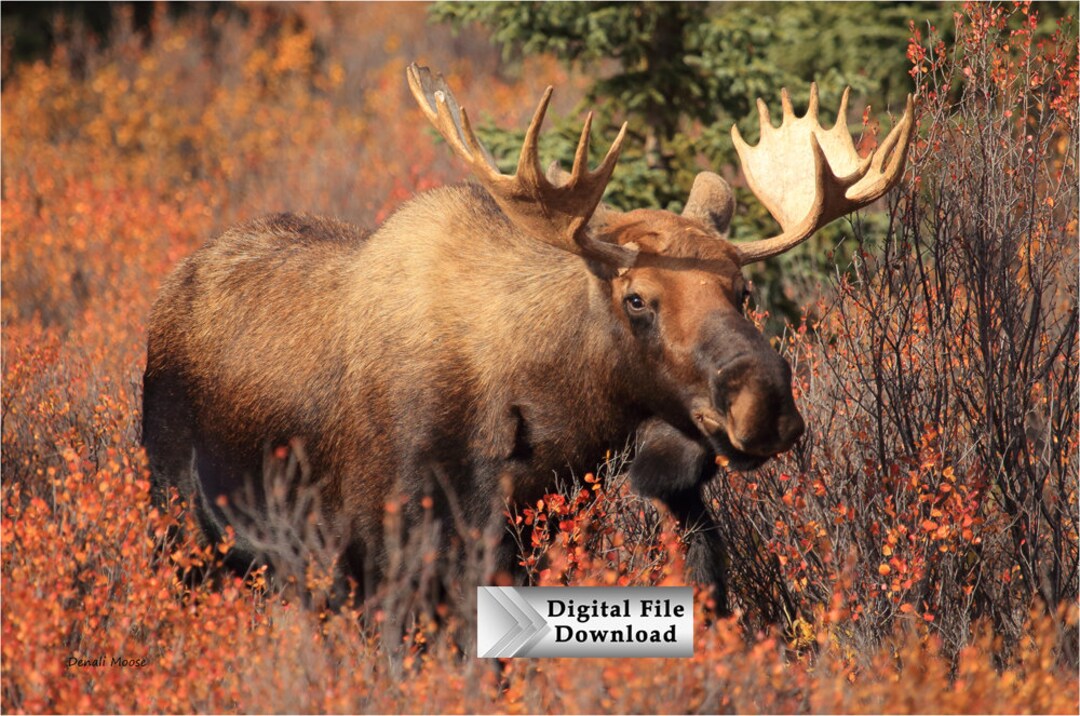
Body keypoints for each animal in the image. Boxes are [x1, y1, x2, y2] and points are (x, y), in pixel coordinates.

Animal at [142, 63, 913, 615]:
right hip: (176, 518)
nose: (766, 404)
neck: (551, 427)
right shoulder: (387, 550)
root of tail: (170, 289)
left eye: (743, 291)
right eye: (637, 298)